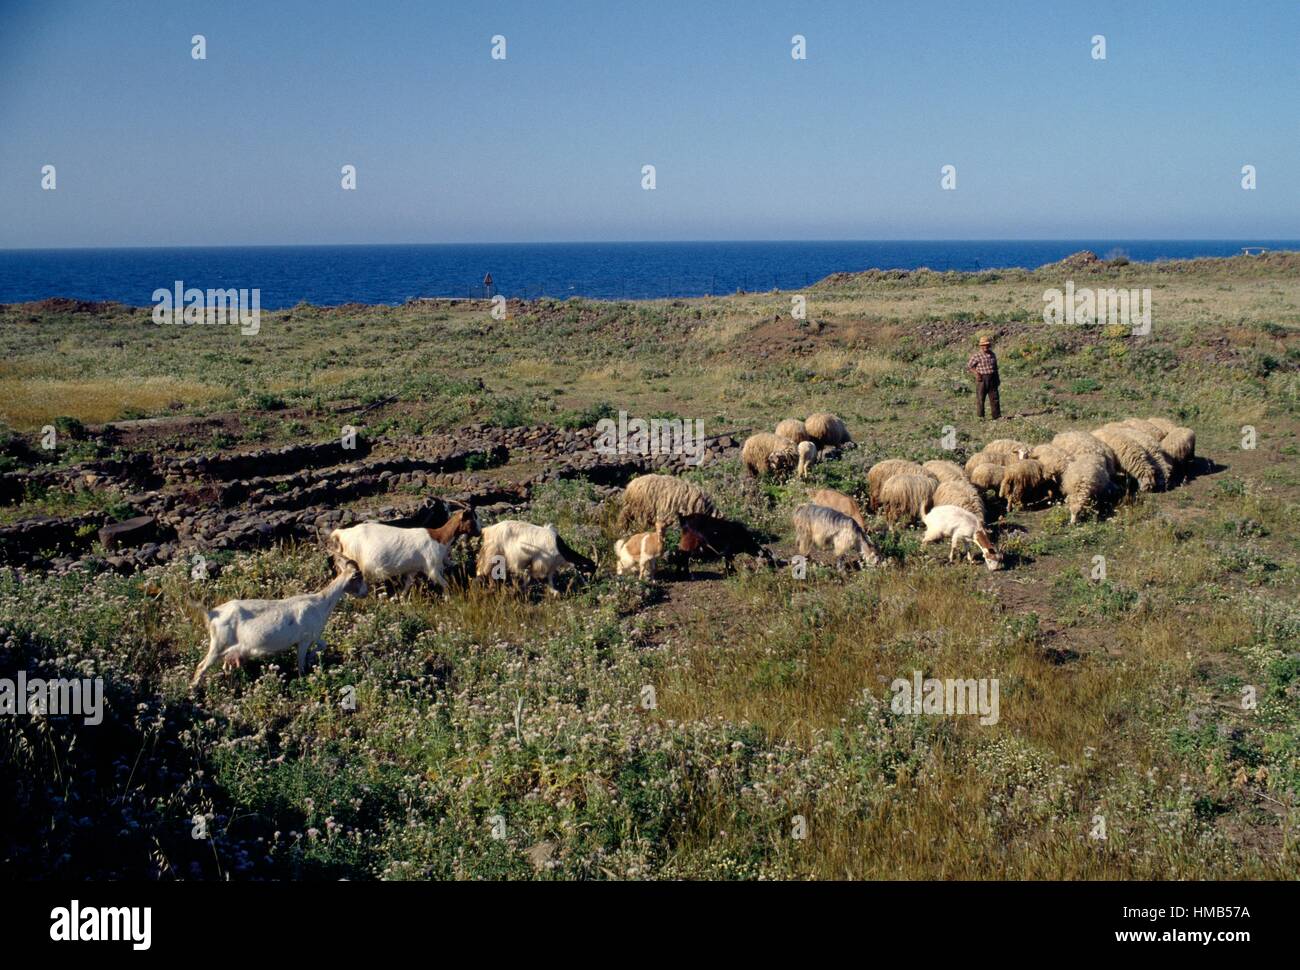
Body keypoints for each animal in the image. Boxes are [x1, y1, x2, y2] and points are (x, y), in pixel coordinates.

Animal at [188, 559, 368, 687]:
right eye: (359, 578)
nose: (365, 593)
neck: (320, 603)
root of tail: (211, 614)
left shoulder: (314, 636)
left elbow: (323, 645)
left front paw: (312, 657)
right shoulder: (304, 640)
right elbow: (301, 663)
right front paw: (303, 676)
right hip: (218, 645)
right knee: (201, 667)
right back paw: (193, 690)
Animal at [327, 506, 479, 594]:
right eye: (471, 520)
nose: (479, 532)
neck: (439, 537)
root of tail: (341, 534)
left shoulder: (414, 569)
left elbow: (407, 585)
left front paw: (400, 599)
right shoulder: (432, 569)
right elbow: (445, 585)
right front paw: (448, 599)